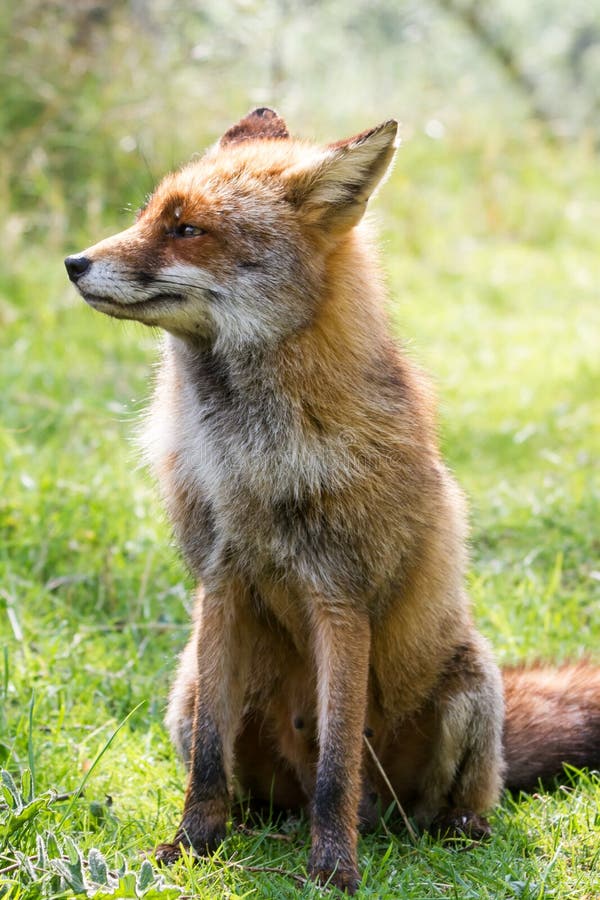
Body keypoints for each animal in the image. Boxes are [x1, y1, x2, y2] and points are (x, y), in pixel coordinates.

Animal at [65, 108, 600, 894]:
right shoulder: (218, 584)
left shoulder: (342, 594)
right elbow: (207, 766)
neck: (253, 459)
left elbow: (337, 764)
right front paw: (191, 847)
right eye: (147, 216)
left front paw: (335, 871)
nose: (73, 262)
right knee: (247, 777)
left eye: (187, 229)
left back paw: (454, 834)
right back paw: (251, 826)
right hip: (187, 691)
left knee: (451, 800)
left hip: (471, 693)